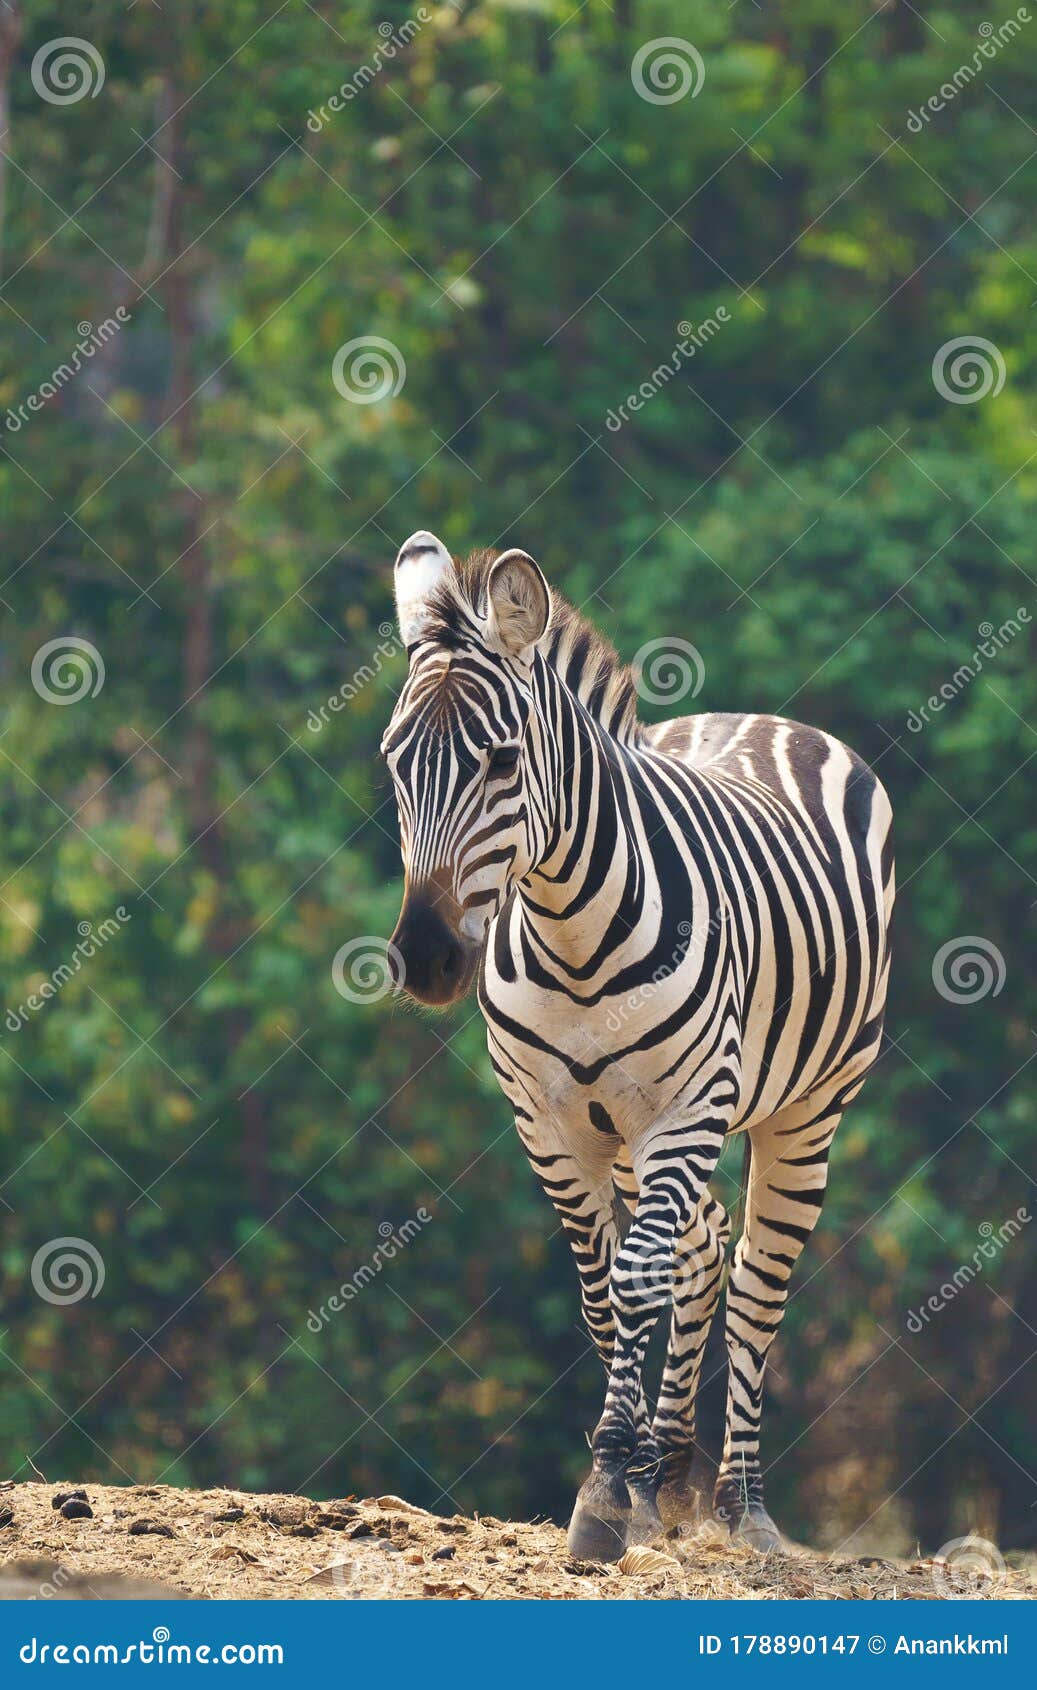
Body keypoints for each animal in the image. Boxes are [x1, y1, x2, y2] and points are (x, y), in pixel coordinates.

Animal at [381, 530, 894, 1560]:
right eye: (392, 761)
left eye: (501, 762)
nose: (424, 959)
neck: (570, 936)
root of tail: (754, 716)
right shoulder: (551, 1125)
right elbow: (601, 1292)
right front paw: (626, 1488)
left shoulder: (684, 1111)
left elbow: (636, 1280)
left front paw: (603, 1496)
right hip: (631, 1134)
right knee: (701, 1253)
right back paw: (671, 1486)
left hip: (802, 1111)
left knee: (754, 1283)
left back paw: (739, 1507)